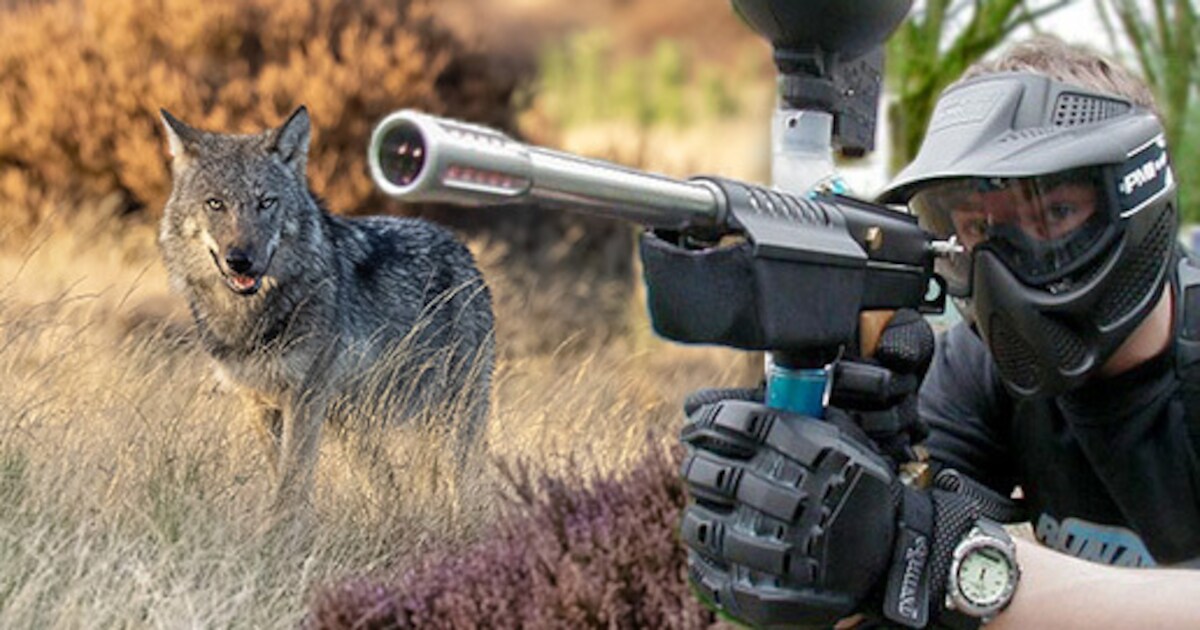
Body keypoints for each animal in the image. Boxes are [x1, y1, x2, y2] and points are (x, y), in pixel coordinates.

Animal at [158, 106, 495, 508]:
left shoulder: (305, 397)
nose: (240, 261)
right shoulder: (258, 402)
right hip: (356, 426)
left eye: (266, 202)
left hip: (451, 423)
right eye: (215, 203)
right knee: (390, 490)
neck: (252, 316)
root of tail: (464, 252)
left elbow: (291, 486)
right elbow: (280, 476)